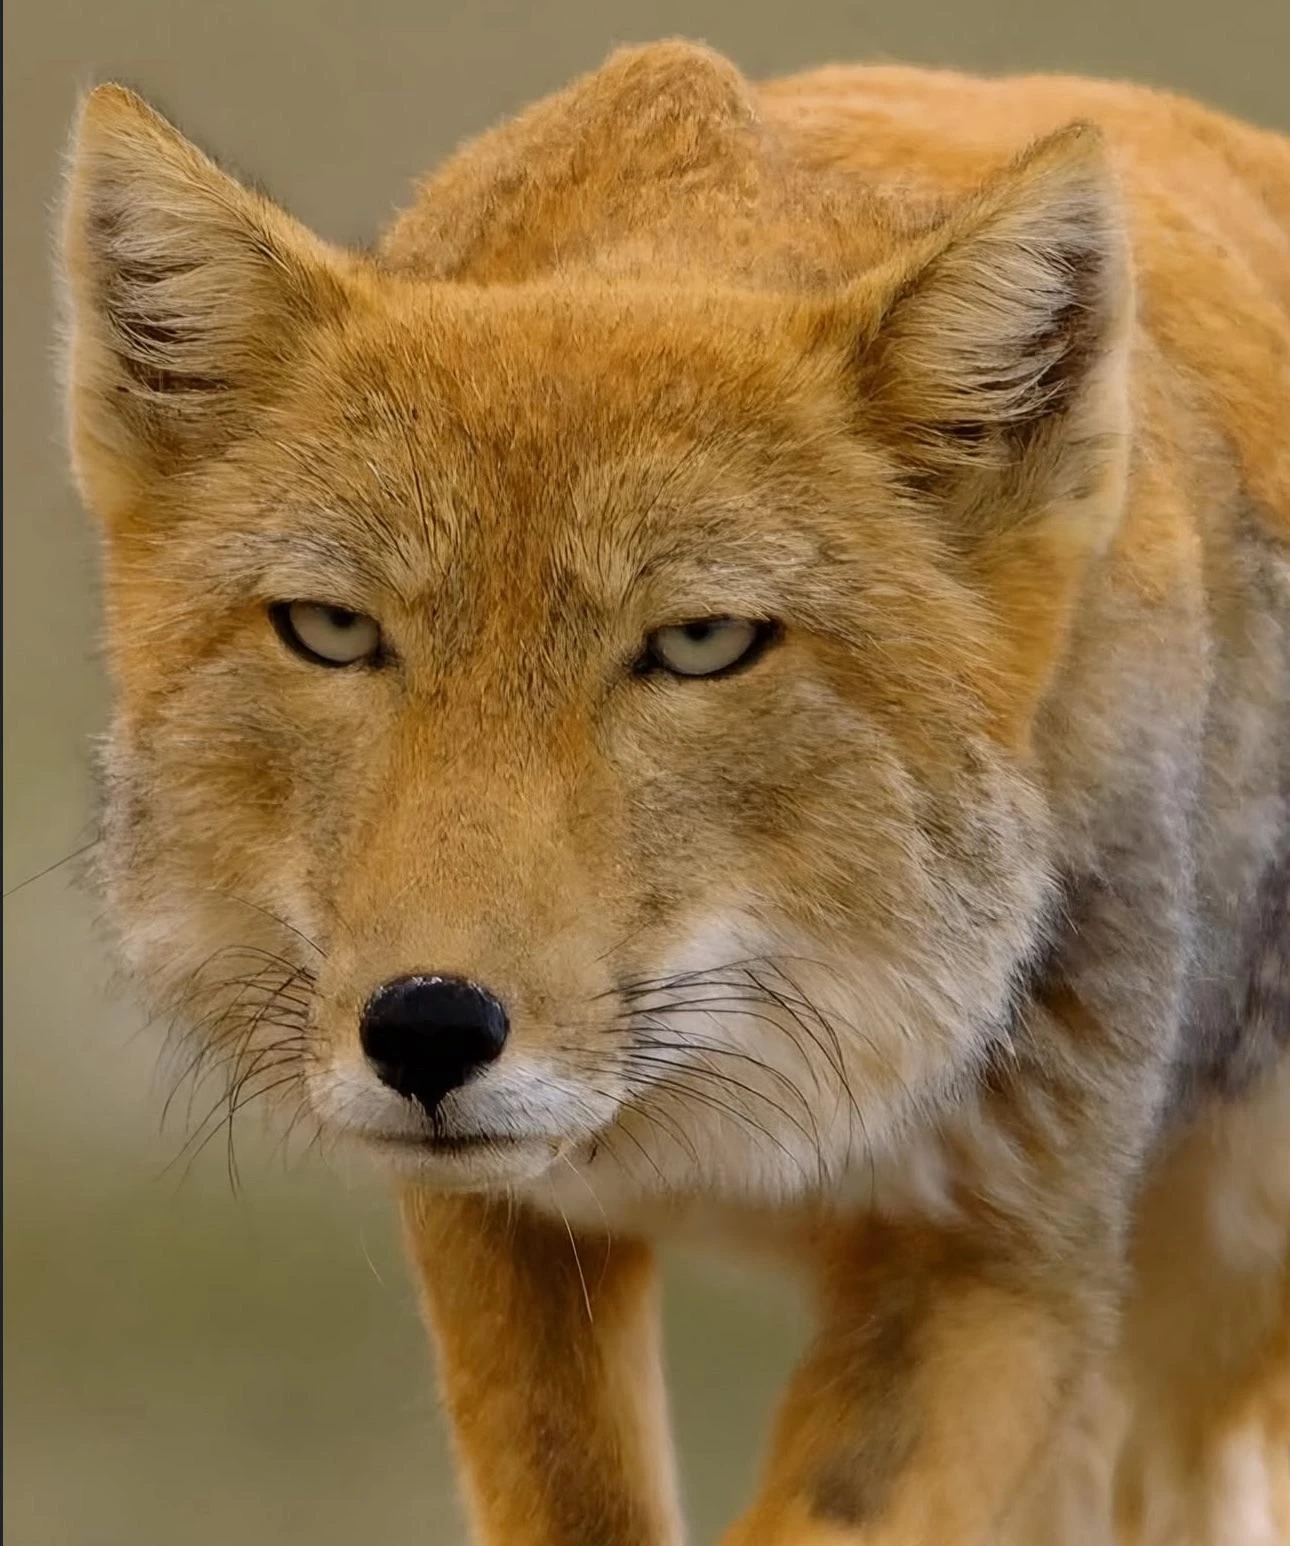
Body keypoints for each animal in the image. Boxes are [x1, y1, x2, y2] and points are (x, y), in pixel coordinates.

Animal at [57, 36, 1290, 1546]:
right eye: (333, 632)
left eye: (700, 643)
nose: (425, 1028)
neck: (733, 1142)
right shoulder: (499, 1221)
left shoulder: (1003, 1264)